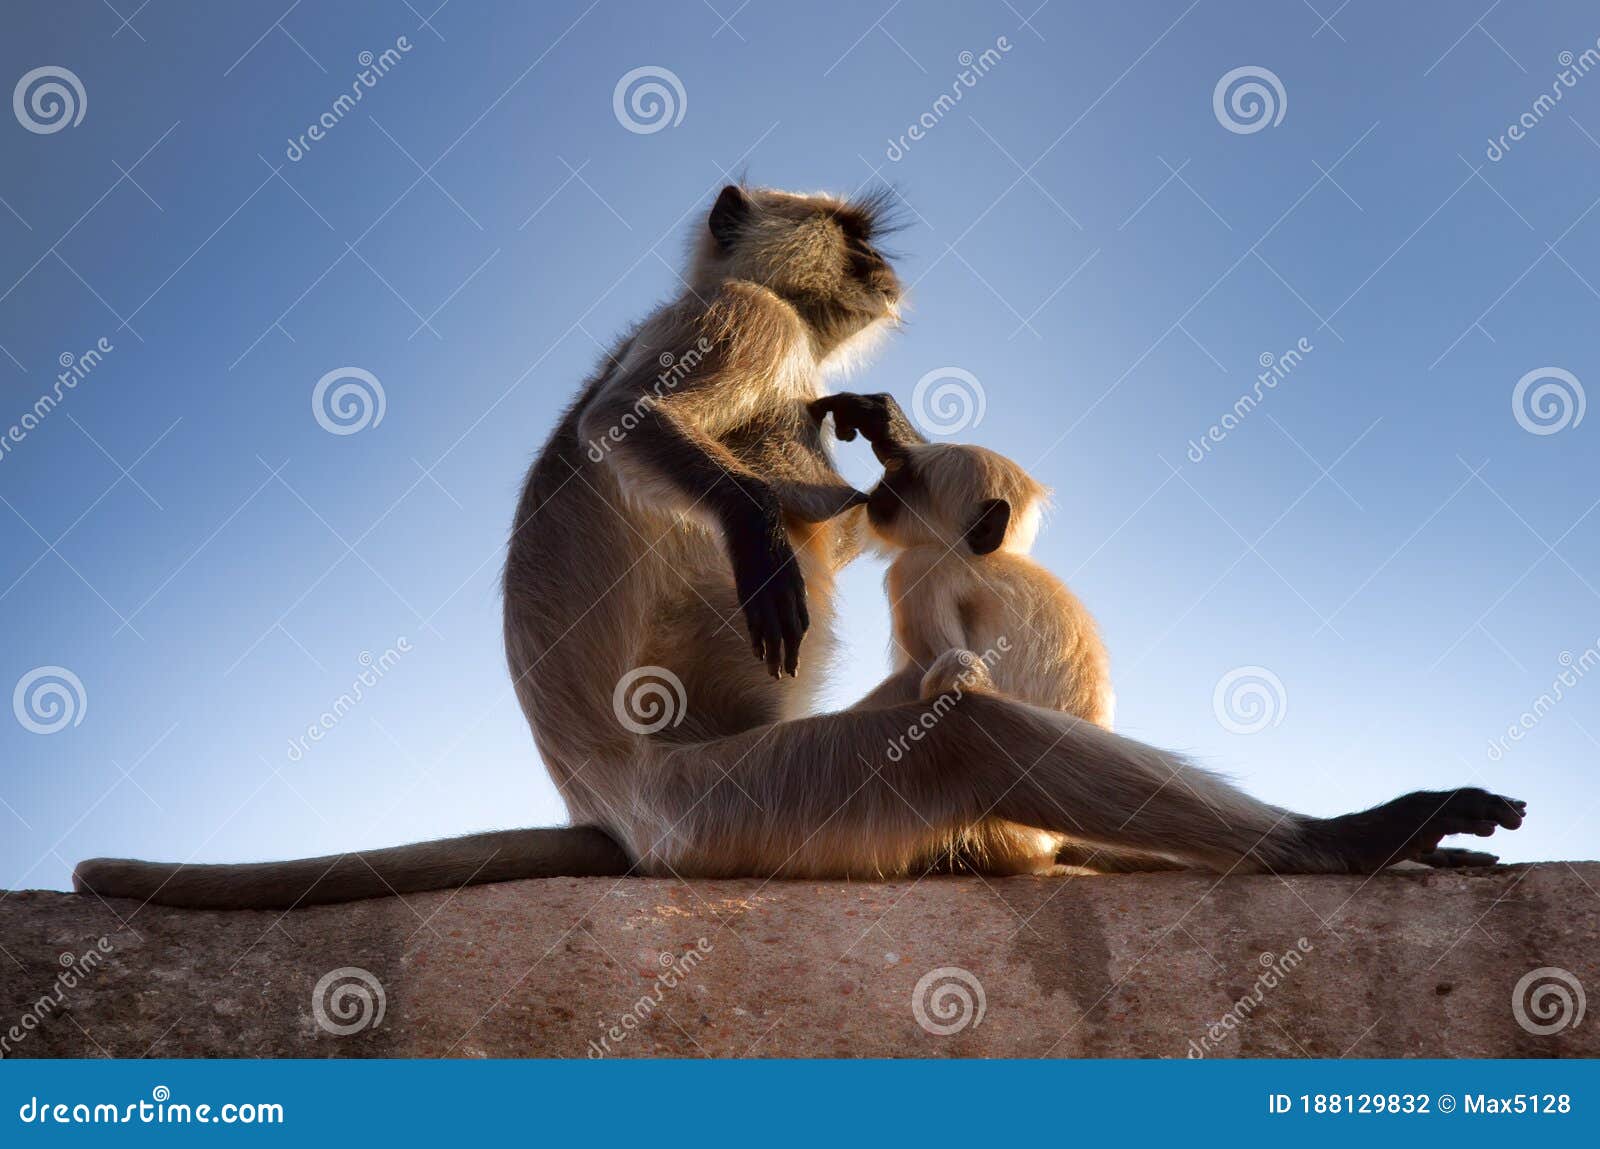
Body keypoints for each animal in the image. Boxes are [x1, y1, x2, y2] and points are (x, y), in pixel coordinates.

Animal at [75, 185, 1522, 908]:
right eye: (855, 235)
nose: (882, 269)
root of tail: (609, 809)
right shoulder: (746, 319)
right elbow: (620, 425)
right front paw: (755, 526)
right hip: (749, 804)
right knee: (957, 733)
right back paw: (1343, 840)